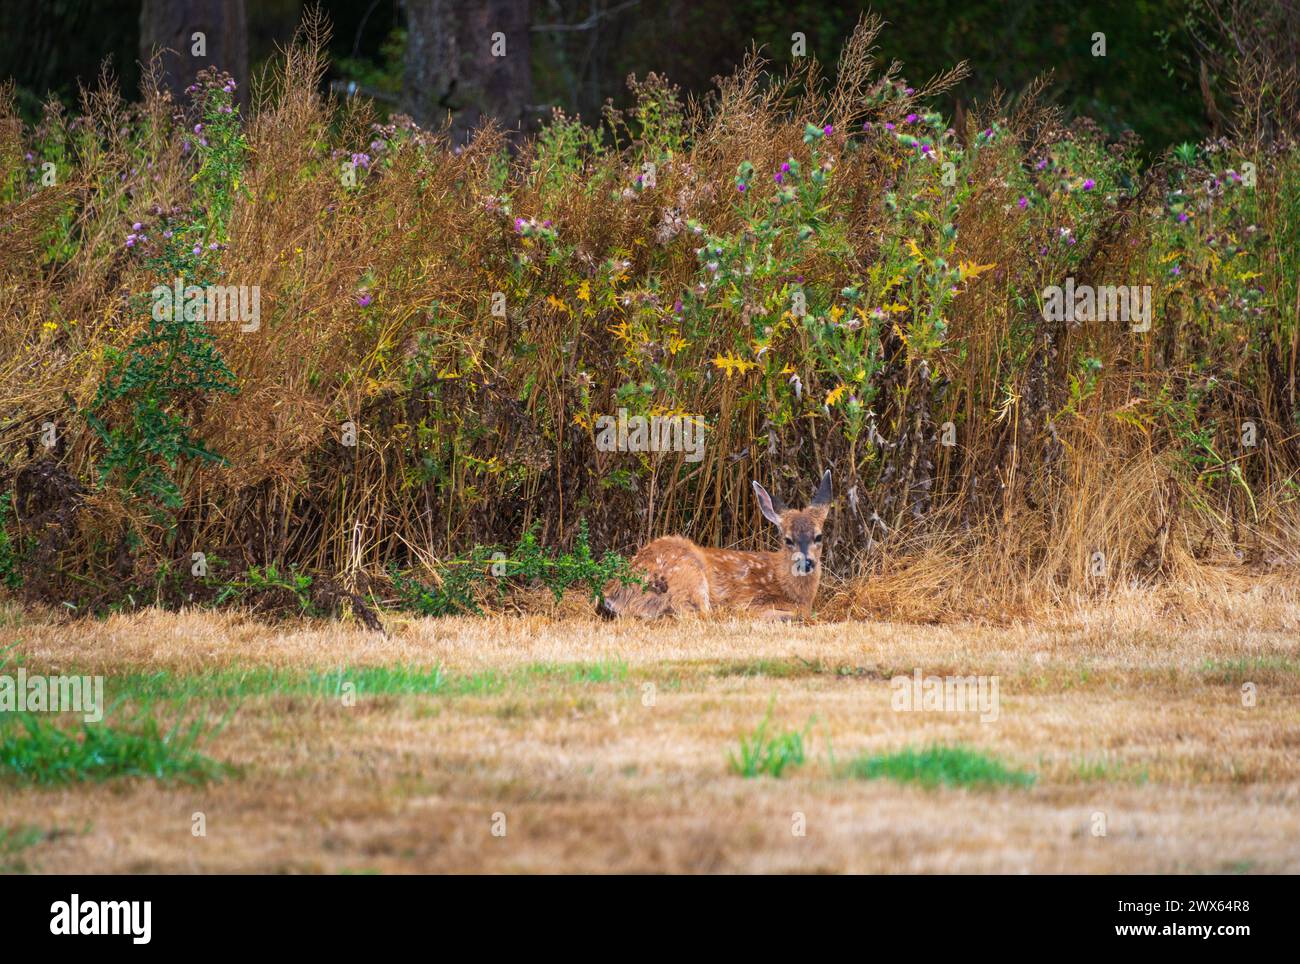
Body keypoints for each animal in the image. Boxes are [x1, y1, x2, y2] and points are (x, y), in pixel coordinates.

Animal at [599, 470, 832, 620]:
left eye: (819, 536)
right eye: (788, 540)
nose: (806, 563)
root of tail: (614, 594)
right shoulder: (749, 599)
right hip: (688, 573)